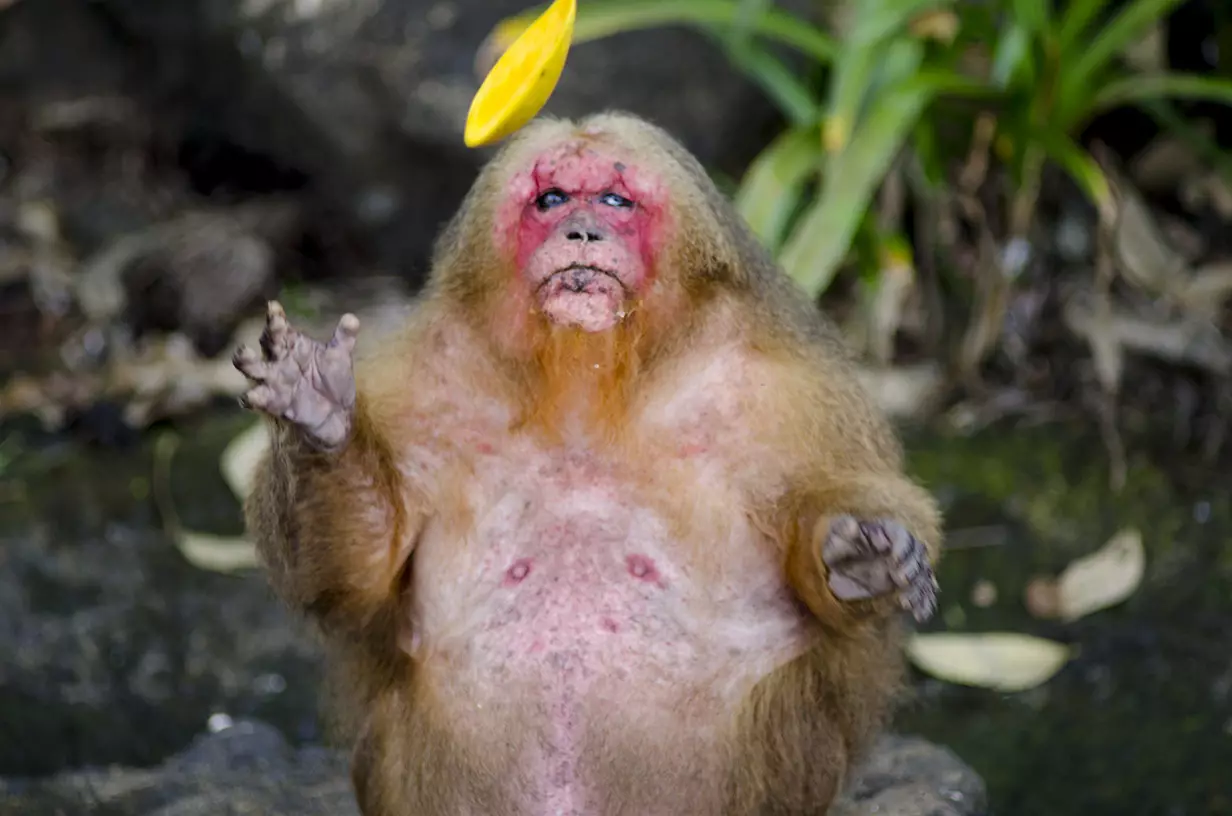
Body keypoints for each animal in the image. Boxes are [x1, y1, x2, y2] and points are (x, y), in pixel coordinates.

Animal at [232, 110, 941, 816]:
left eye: (612, 201)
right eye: (551, 200)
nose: (580, 230)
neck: (585, 378)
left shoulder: (784, 392)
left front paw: (858, 564)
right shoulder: (421, 378)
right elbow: (354, 580)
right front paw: (317, 415)